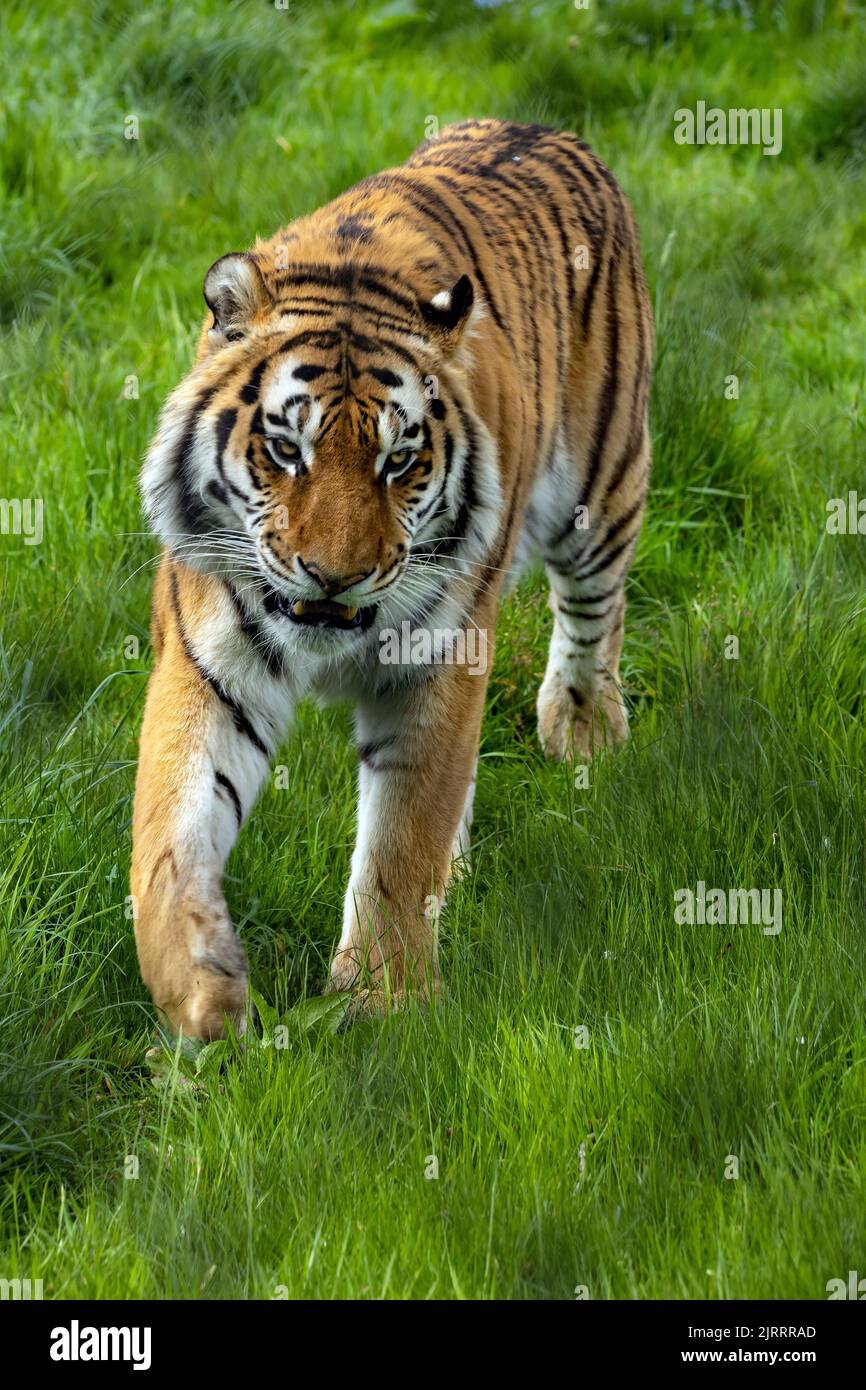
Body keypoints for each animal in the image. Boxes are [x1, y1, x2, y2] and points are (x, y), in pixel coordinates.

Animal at [132, 119, 654, 1040]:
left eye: (398, 461)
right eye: (285, 449)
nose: (334, 578)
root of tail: (543, 128)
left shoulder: (436, 665)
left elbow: (401, 841)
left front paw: (384, 1003)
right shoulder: (206, 665)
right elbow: (171, 831)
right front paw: (203, 992)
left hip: (603, 480)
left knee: (595, 609)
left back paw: (584, 725)